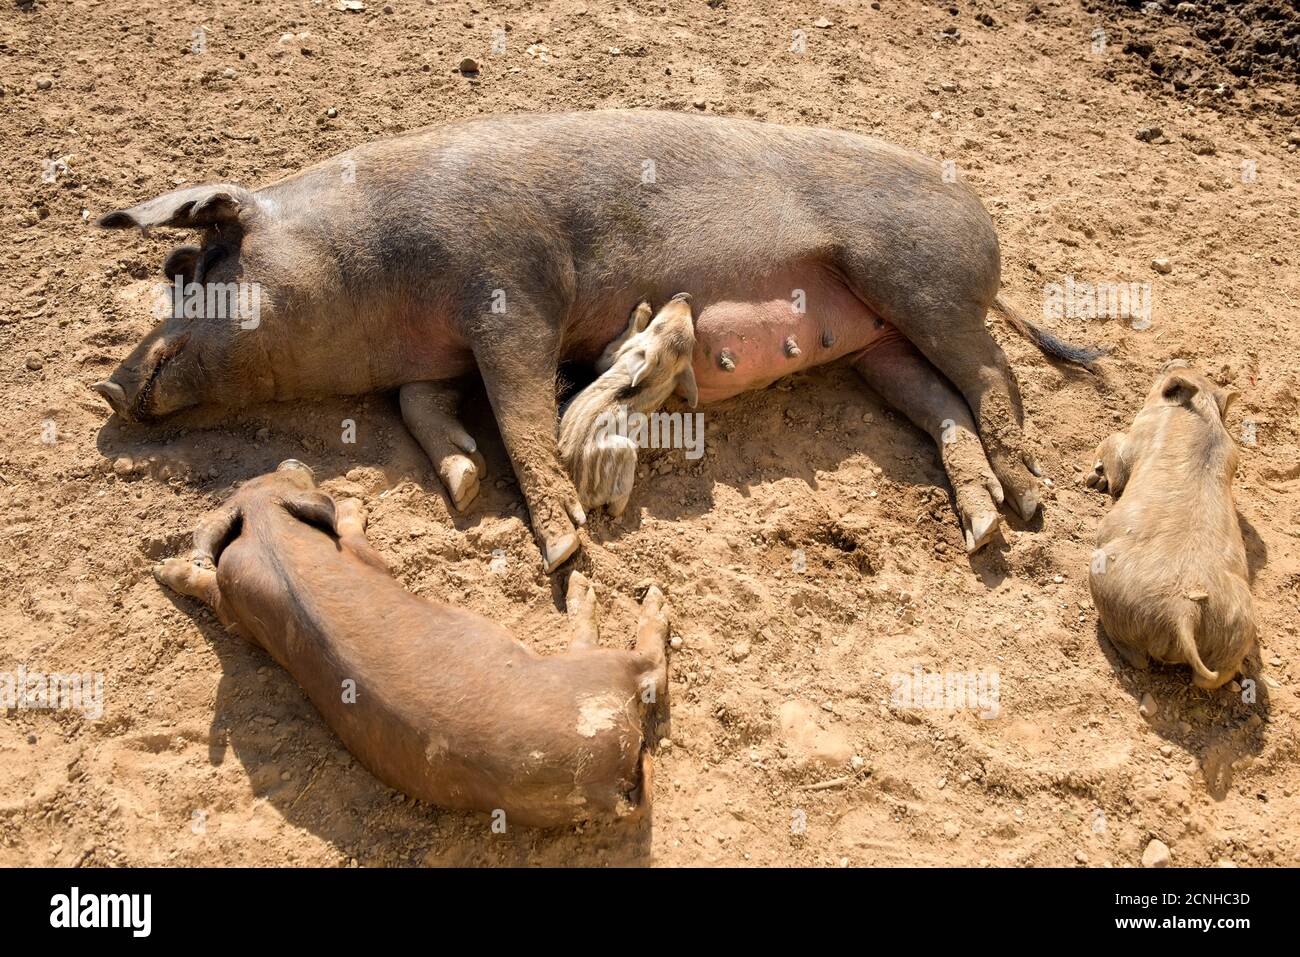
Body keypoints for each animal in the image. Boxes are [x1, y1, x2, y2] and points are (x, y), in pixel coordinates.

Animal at [154, 460, 669, 827]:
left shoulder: (239, 604)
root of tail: (611, 779)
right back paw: (634, 594)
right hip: (594, 672)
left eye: (273, 478)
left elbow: (210, 586)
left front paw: (161, 570)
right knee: (646, 661)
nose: (292, 460)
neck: (268, 530)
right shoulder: (357, 558)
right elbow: (355, 535)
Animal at [559, 293, 698, 517]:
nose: (686, 298)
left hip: (626, 452)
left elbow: (606, 356)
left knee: (615, 509)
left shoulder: (618, 354)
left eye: (658, 327)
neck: (662, 373)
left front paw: (644, 307)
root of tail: (583, 497)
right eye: (694, 339)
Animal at [1086, 361, 1256, 689]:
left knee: (1136, 657)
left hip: (1106, 582)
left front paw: (1096, 478)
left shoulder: (1137, 435)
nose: (1169, 362)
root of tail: (1183, 613)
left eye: (1168, 370)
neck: (1202, 411)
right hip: (1236, 632)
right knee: (1212, 678)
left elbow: (1114, 444)